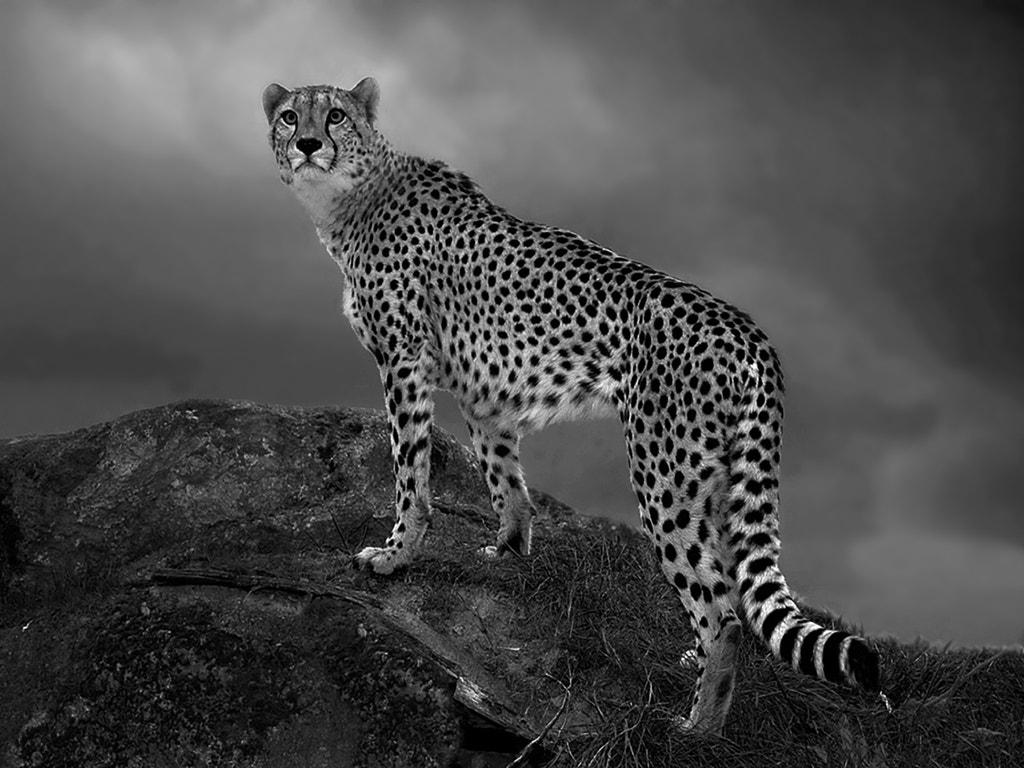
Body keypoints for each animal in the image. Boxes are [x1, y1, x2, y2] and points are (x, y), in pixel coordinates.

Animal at [262, 77, 880, 735]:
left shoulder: (403, 362)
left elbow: (412, 474)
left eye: (335, 116)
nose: (306, 144)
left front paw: (395, 556)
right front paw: (508, 552)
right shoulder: (480, 389)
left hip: (665, 474)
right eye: (289, 116)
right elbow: (504, 476)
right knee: (733, 585)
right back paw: (693, 663)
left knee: (726, 616)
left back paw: (699, 729)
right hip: (717, 475)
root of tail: (749, 330)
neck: (353, 194)